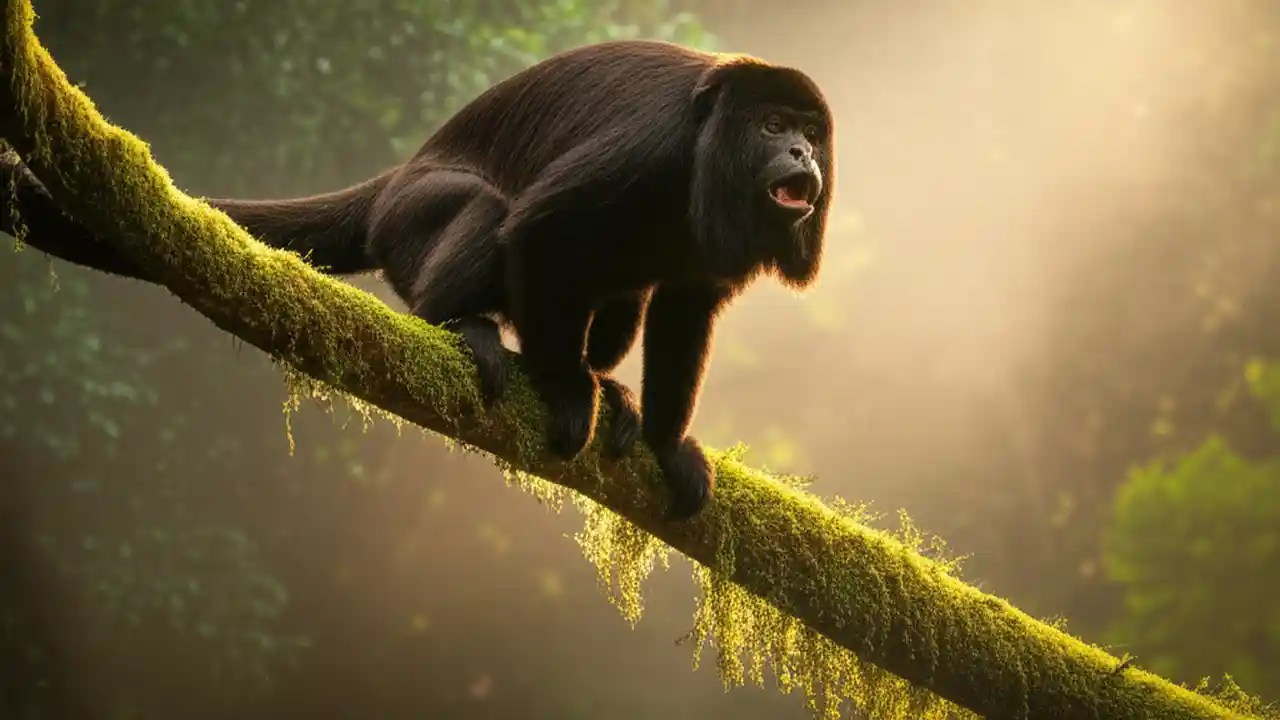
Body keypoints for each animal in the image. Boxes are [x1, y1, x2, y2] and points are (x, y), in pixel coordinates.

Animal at [3, 40, 834, 520]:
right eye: (771, 127)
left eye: (810, 132)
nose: (801, 154)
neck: (710, 144)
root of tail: (395, 178)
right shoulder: (652, 145)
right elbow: (538, 228)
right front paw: (565, 391)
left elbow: (686, 310)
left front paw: (665, 442)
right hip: (412, 216)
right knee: (492, 212)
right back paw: (464, 328)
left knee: (622, 305)